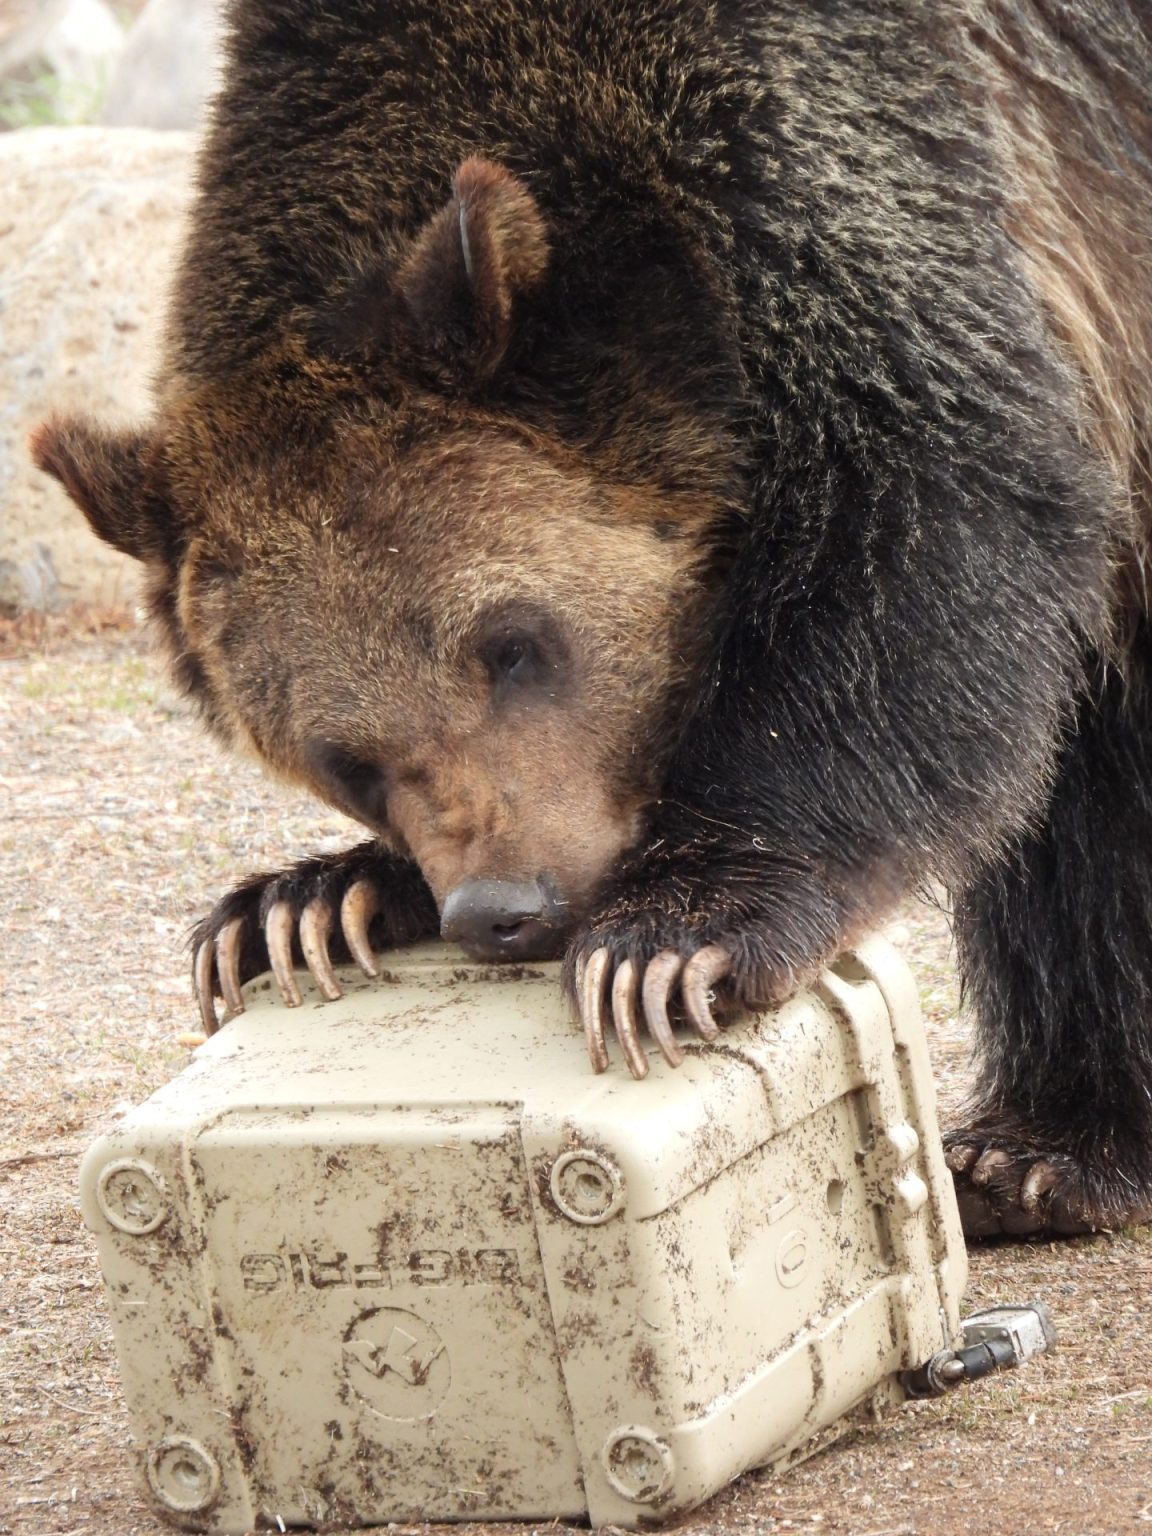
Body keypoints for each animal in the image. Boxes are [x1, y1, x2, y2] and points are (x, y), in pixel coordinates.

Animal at [33, 0, 1152, 1240]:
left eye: (515, 644)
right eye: (339, 756)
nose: (502, 909)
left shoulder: (866, 181)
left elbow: (926, 530)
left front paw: (676, 936)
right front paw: (305, 904)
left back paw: (1032, 1150)